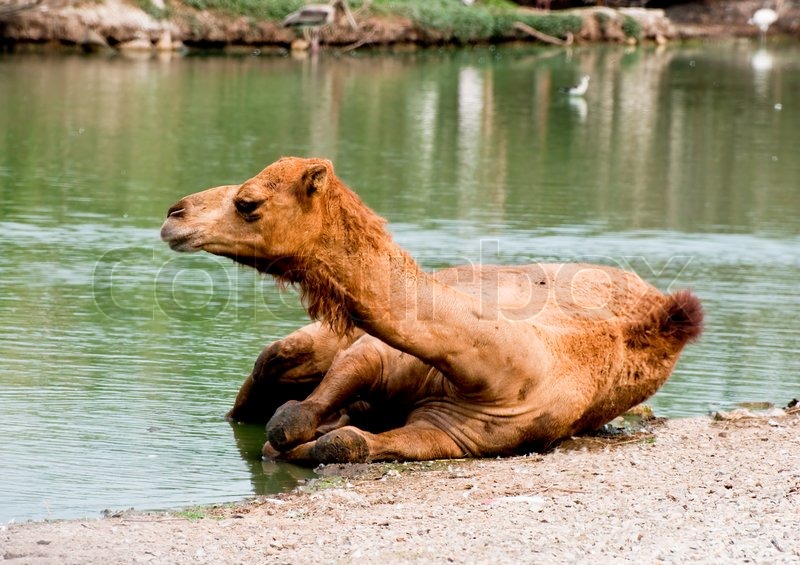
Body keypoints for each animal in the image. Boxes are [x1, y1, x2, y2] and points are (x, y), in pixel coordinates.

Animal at [160, 156, 703, 464]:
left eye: (247, 203)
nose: (173, 214)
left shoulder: (460, 435)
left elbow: (338, 441)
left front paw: (320, 435)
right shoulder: (380, 355)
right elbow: (299, 413)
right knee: (270, 361)